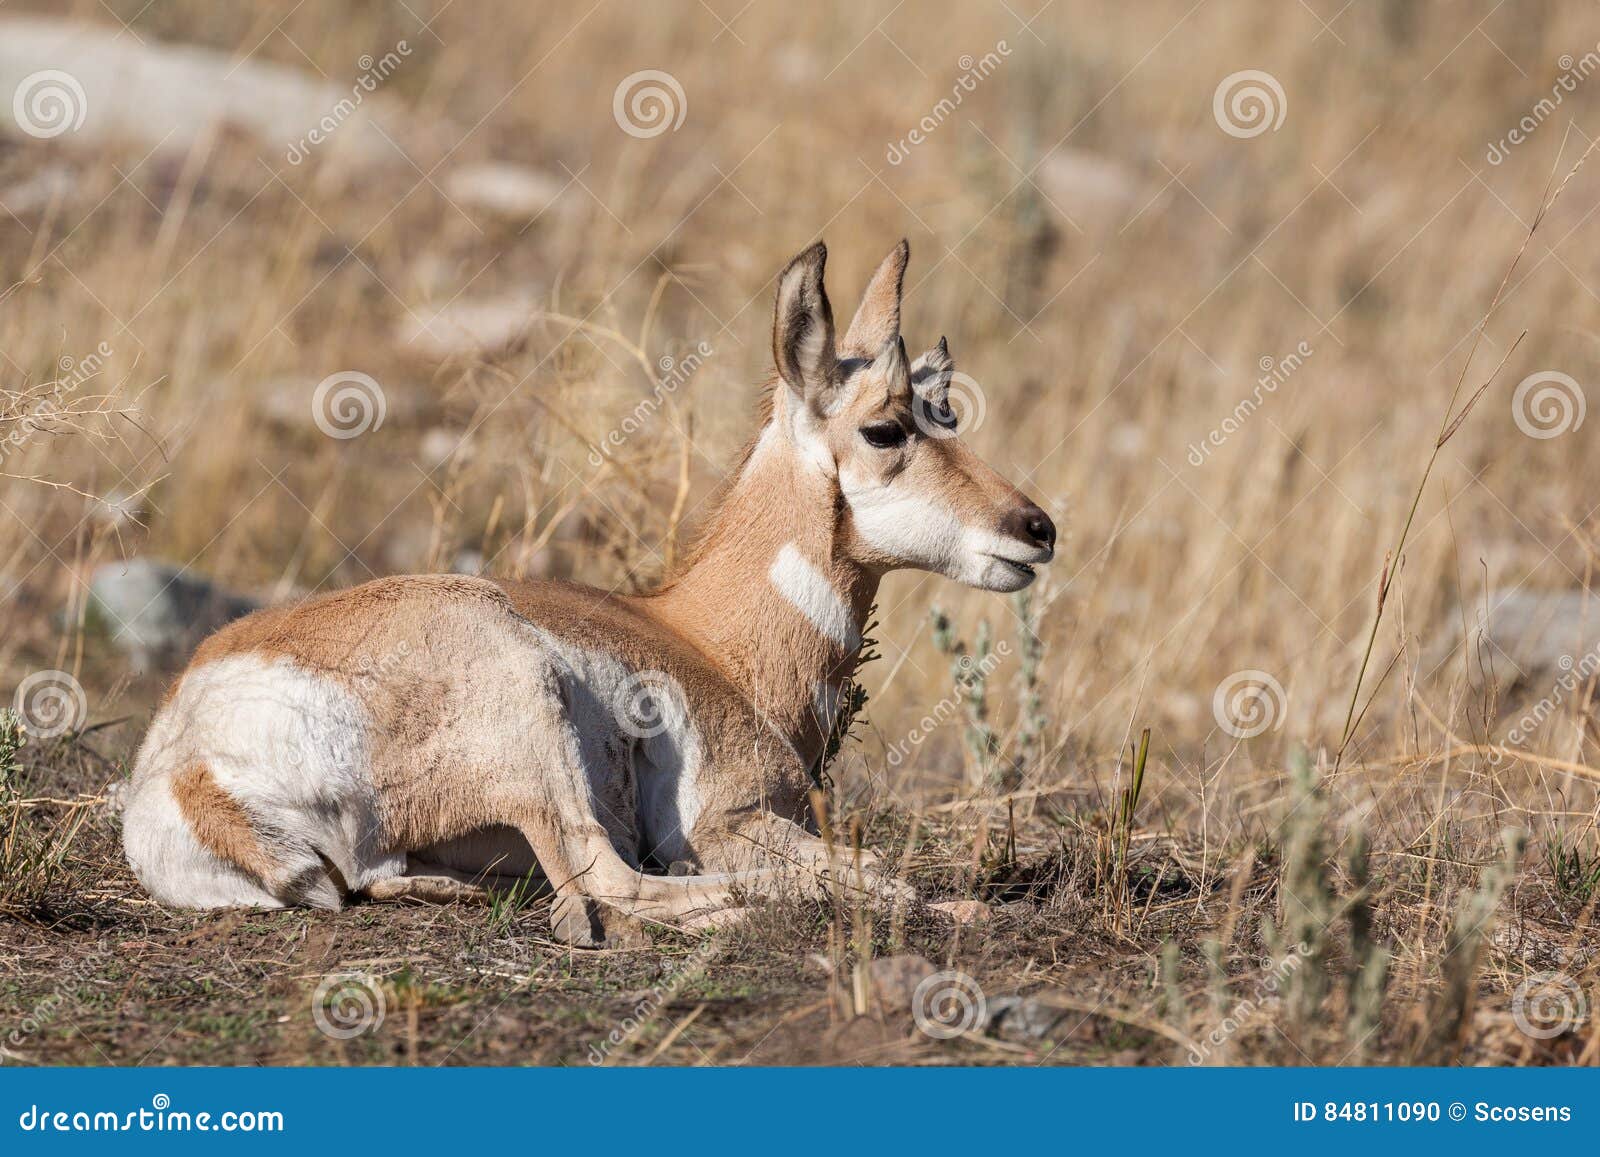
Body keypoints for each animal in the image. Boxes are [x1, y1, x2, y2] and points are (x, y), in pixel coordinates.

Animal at [120, 239, 1057, 946]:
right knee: (614, 882)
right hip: (532, 714)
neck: (703, 640)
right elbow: (873, 869)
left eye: (949, 410)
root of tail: (189, 763)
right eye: (885, 427)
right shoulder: (727, 820)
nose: (1037, 528)